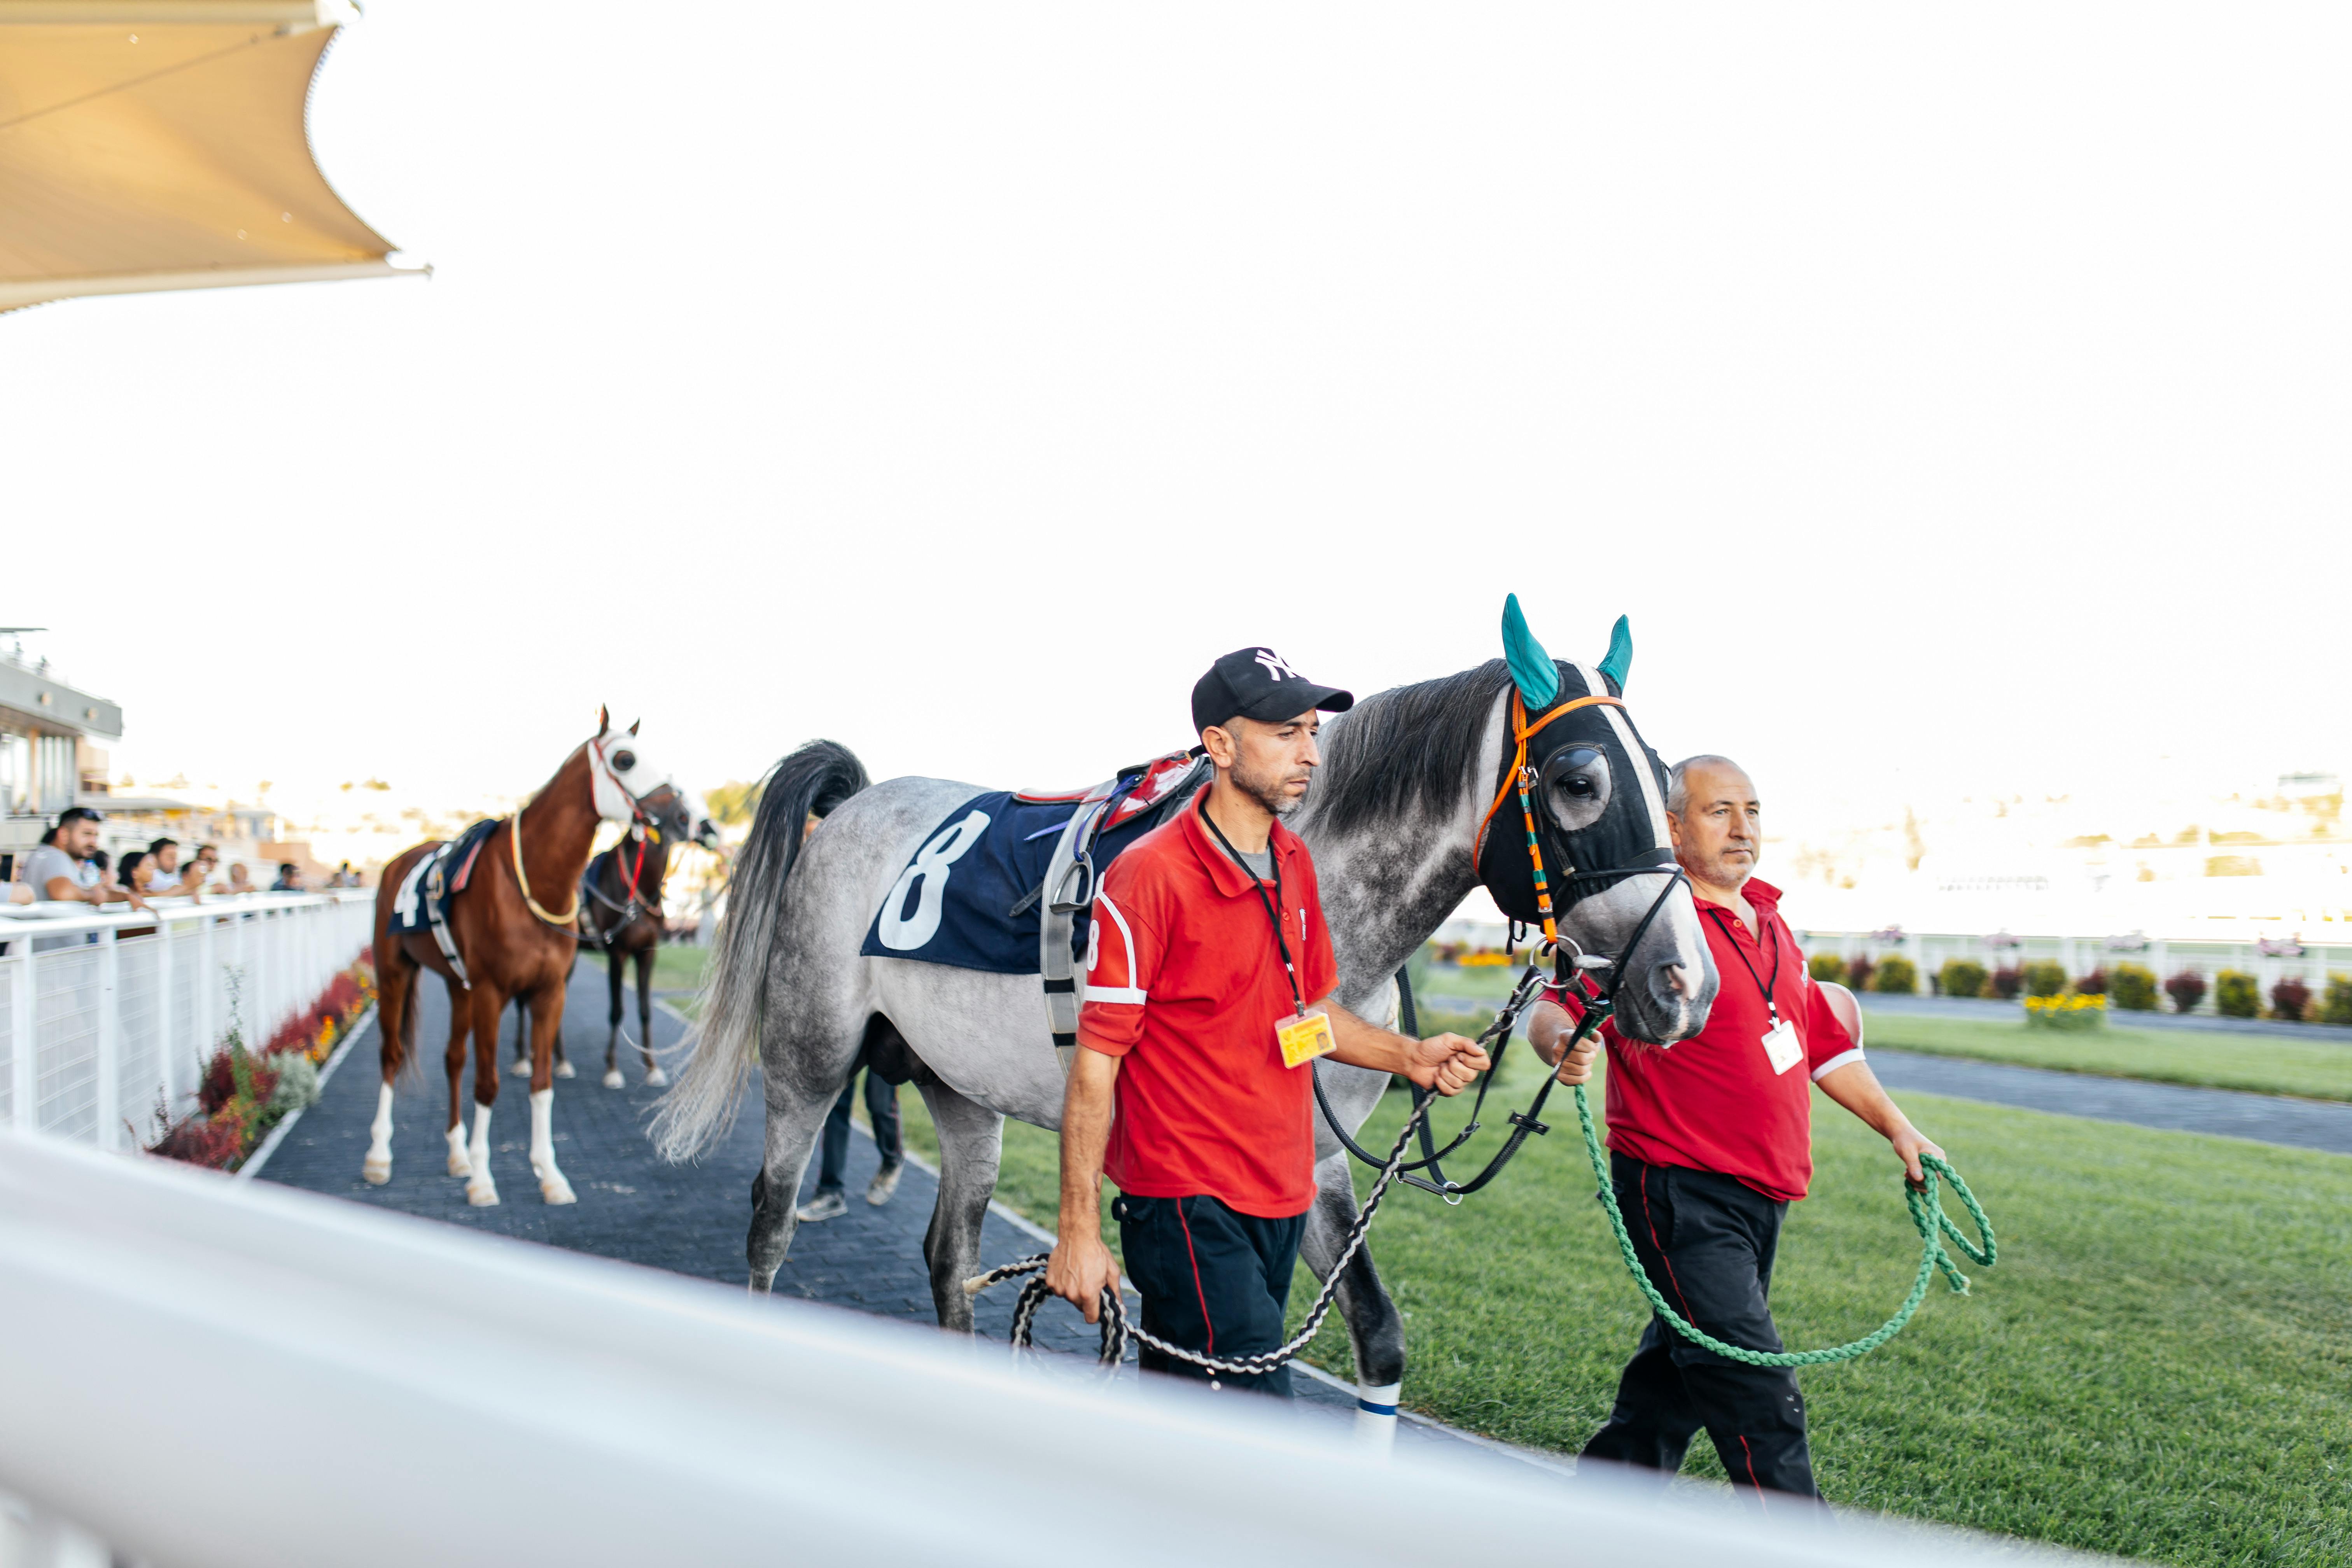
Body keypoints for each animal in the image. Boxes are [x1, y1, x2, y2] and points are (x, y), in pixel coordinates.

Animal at [366, 711, 696, 1206]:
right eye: (625, 759)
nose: (680, 815)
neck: (534, 883)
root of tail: (397, 863)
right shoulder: (491, 991)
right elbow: (488, 1084)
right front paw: (484, 1181)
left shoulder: (548, 990)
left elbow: (541, 1086)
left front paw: (550, 1175)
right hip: (394, 972)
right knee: (391, 1054)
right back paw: (380, 1156)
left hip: (457, 985)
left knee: (453, 1058)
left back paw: (456, 1154)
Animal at [653, 606, 1718, 1439]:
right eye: (1579, 781)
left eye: (1667, 779)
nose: (1686, 985)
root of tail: (861, 802)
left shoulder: (1314, 1165)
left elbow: (1377, 1338)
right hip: (809, 1059)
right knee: (770, 1226)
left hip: (961, 1090)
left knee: (950, 1257)